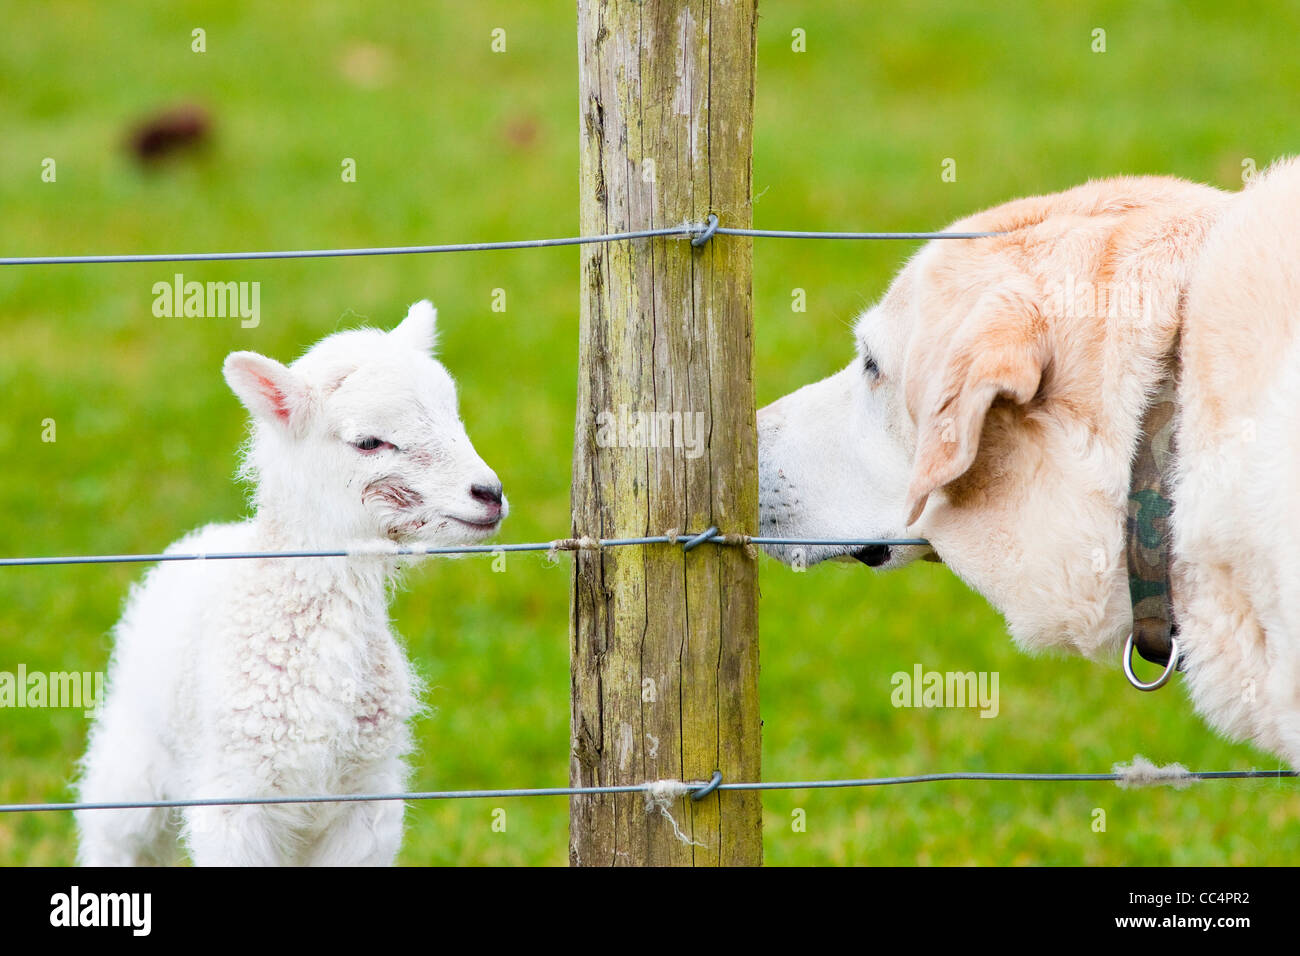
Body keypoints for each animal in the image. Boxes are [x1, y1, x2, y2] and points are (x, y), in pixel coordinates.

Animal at [76, 301, 506, 866]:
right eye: (369, 442)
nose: (489, 494)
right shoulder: (233, 802)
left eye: (455, 417)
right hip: (131, 764)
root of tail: (213, 531)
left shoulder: (367, 804)